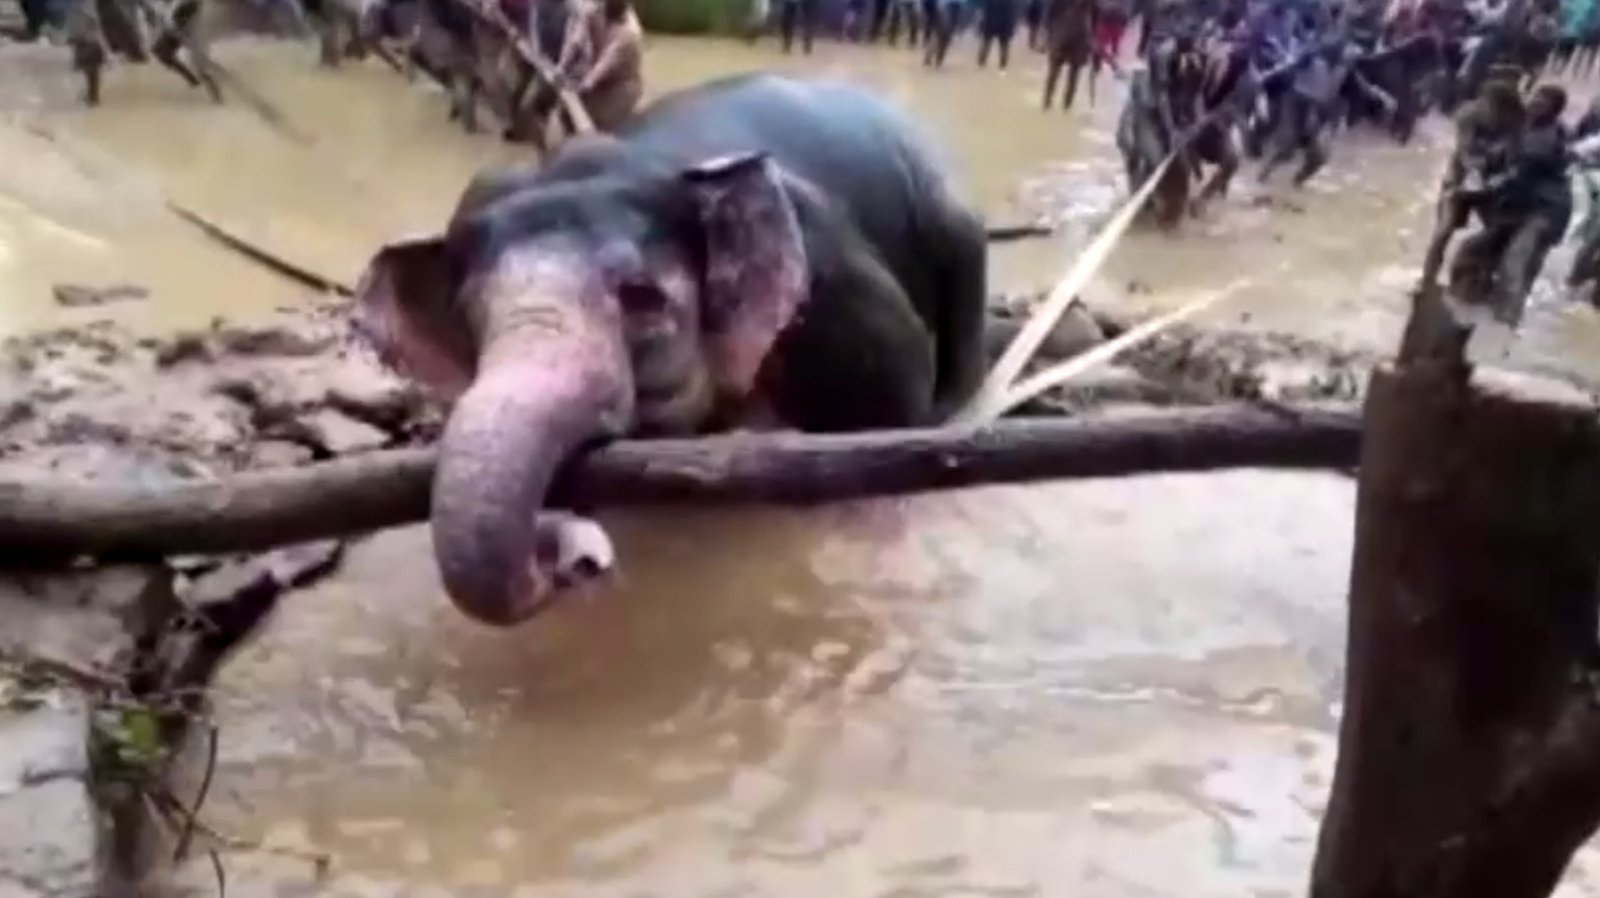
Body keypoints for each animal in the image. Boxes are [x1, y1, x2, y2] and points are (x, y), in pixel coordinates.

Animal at [351, 73, 989, 627]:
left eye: (641, 297)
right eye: (469, 316)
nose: (575, 560)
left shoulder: (841, 294)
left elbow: (886, 421)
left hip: (952, 223)